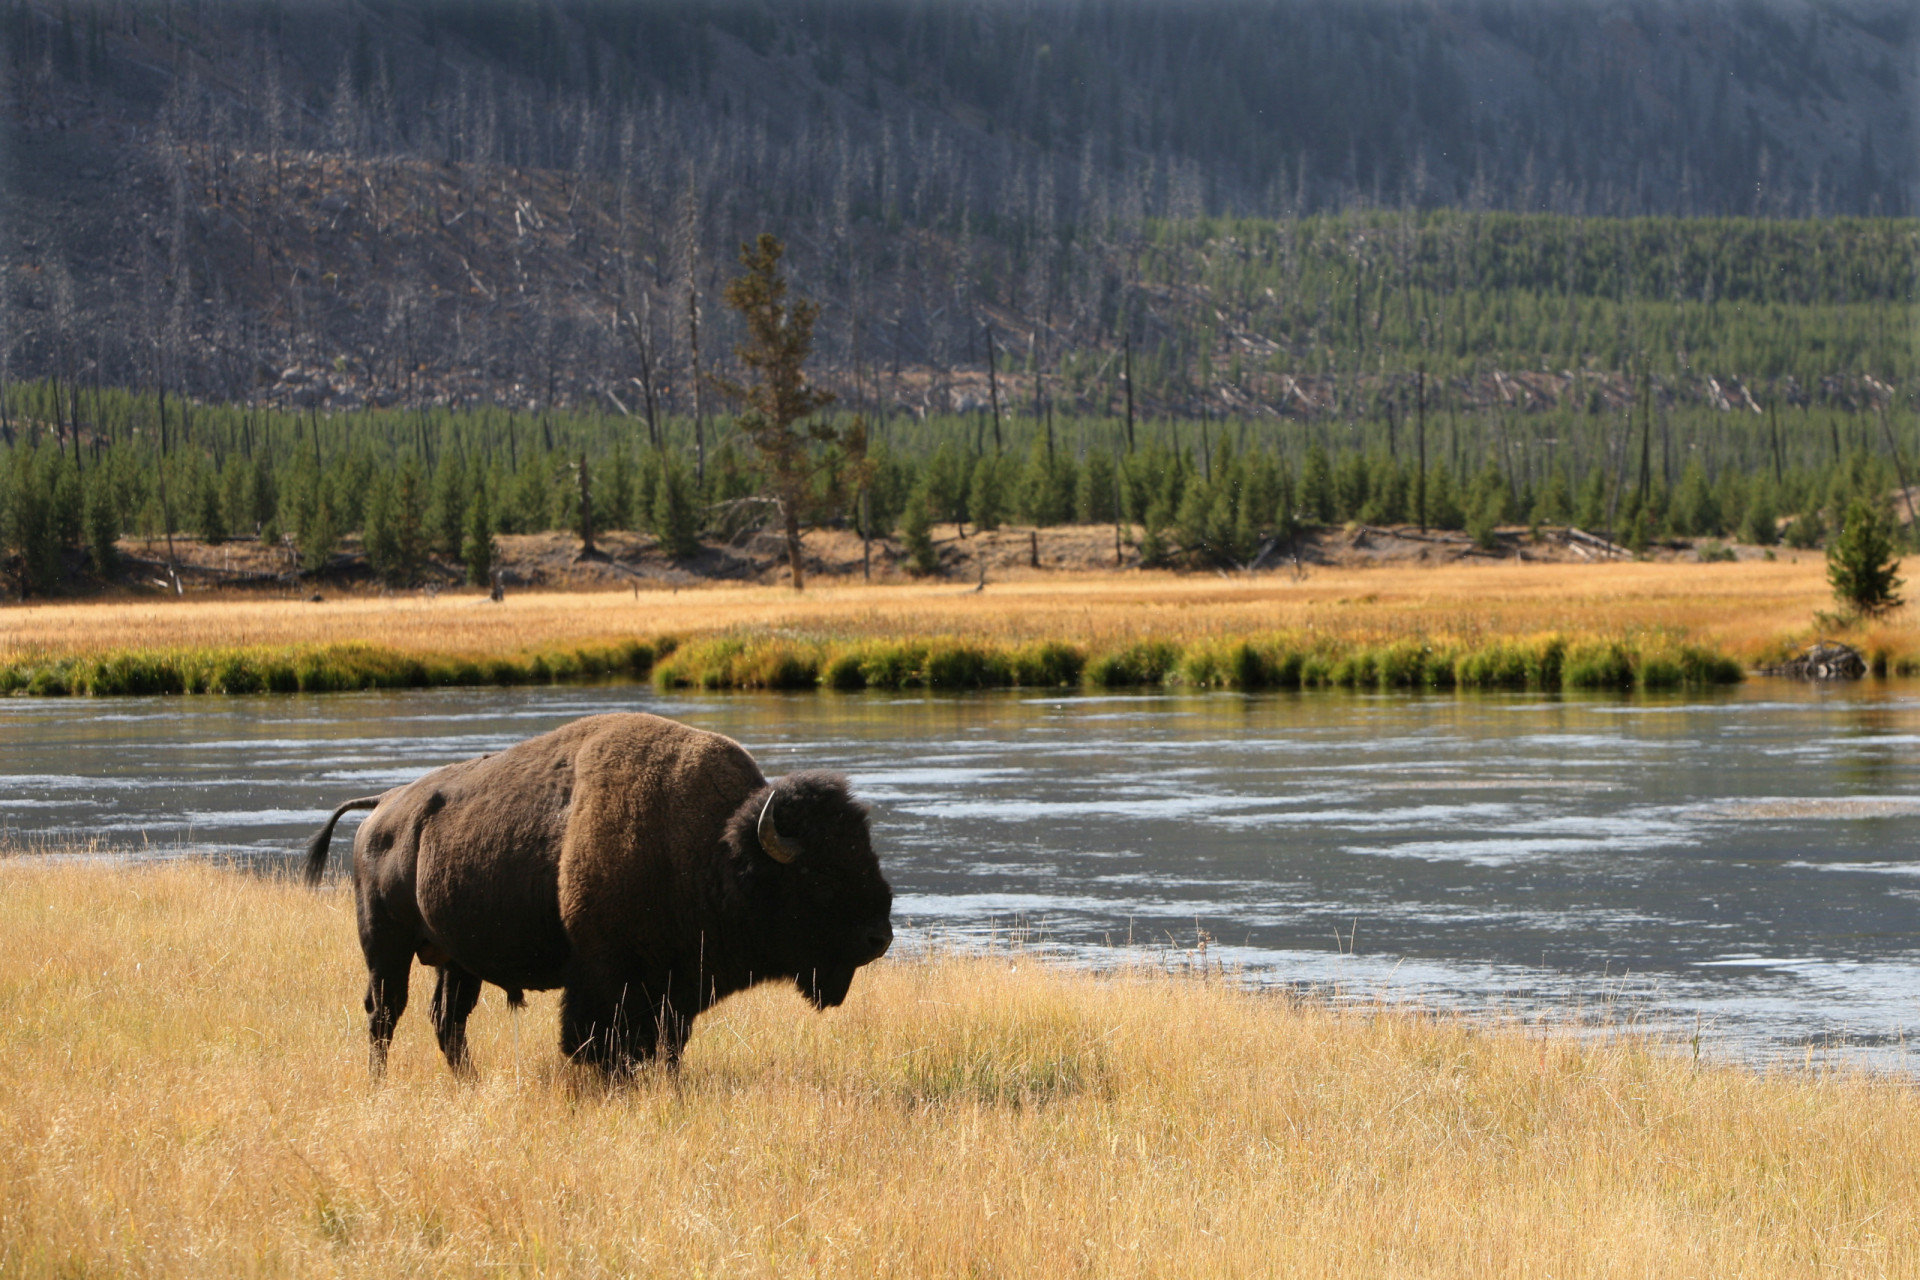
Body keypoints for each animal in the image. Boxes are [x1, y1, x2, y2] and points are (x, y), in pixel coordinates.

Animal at [303, 712, 893, 1077]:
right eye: (820, 877)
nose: (879, 938)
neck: (714, 846)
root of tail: (383, 805)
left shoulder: (673, 992)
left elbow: (666, 1048)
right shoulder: (606, 978)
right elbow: (597, 1044)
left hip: (455, 960)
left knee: (447, 1021)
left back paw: (468, 1084)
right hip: (386, 945)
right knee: (384, 1014)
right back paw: (379, 1085)